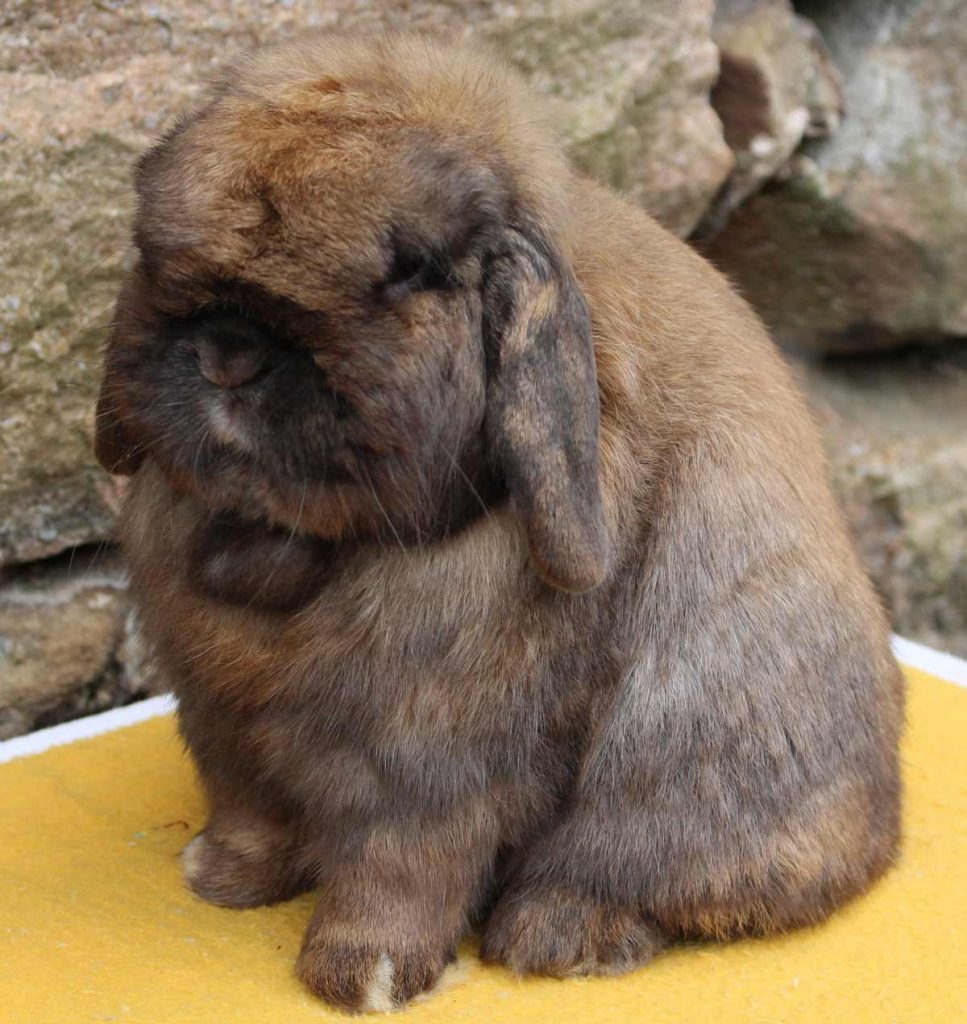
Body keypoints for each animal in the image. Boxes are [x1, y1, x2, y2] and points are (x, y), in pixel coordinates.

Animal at [94, 32, 904, 1013]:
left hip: (694, 744)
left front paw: (360, 978)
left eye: (412, 268)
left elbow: (401, 873)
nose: (229, 350)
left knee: (646, 874)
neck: (301, 542)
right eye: (152, 248)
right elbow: (254, 817)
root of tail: (880, 821)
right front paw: (219, 878)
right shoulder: (225, 732)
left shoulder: (430, 770)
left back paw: (557, 937)